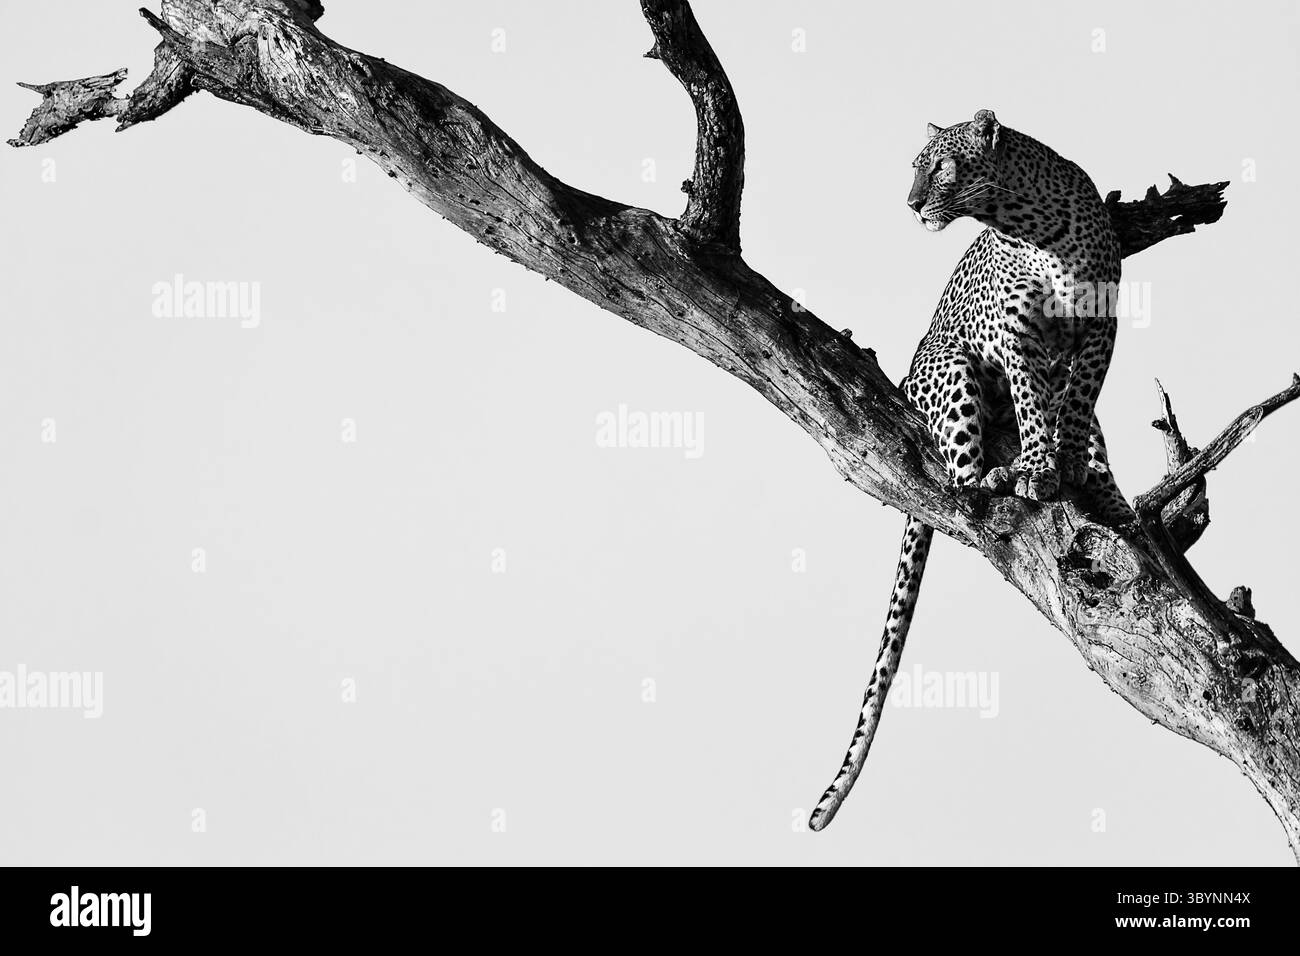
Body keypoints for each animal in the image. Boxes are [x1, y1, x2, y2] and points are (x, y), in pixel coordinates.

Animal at [809, 109, 1135, 831]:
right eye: (916, 166)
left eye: (940, 166)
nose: (910, 205)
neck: (1032, 224)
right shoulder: (1018, 336)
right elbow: (1036, 402)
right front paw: (1040, 468)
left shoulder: (1100, 326)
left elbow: (1078, 401)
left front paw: (1072, 463)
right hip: (953, 369)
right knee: (958, 482)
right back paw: (996, 474)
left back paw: (1107, 491)